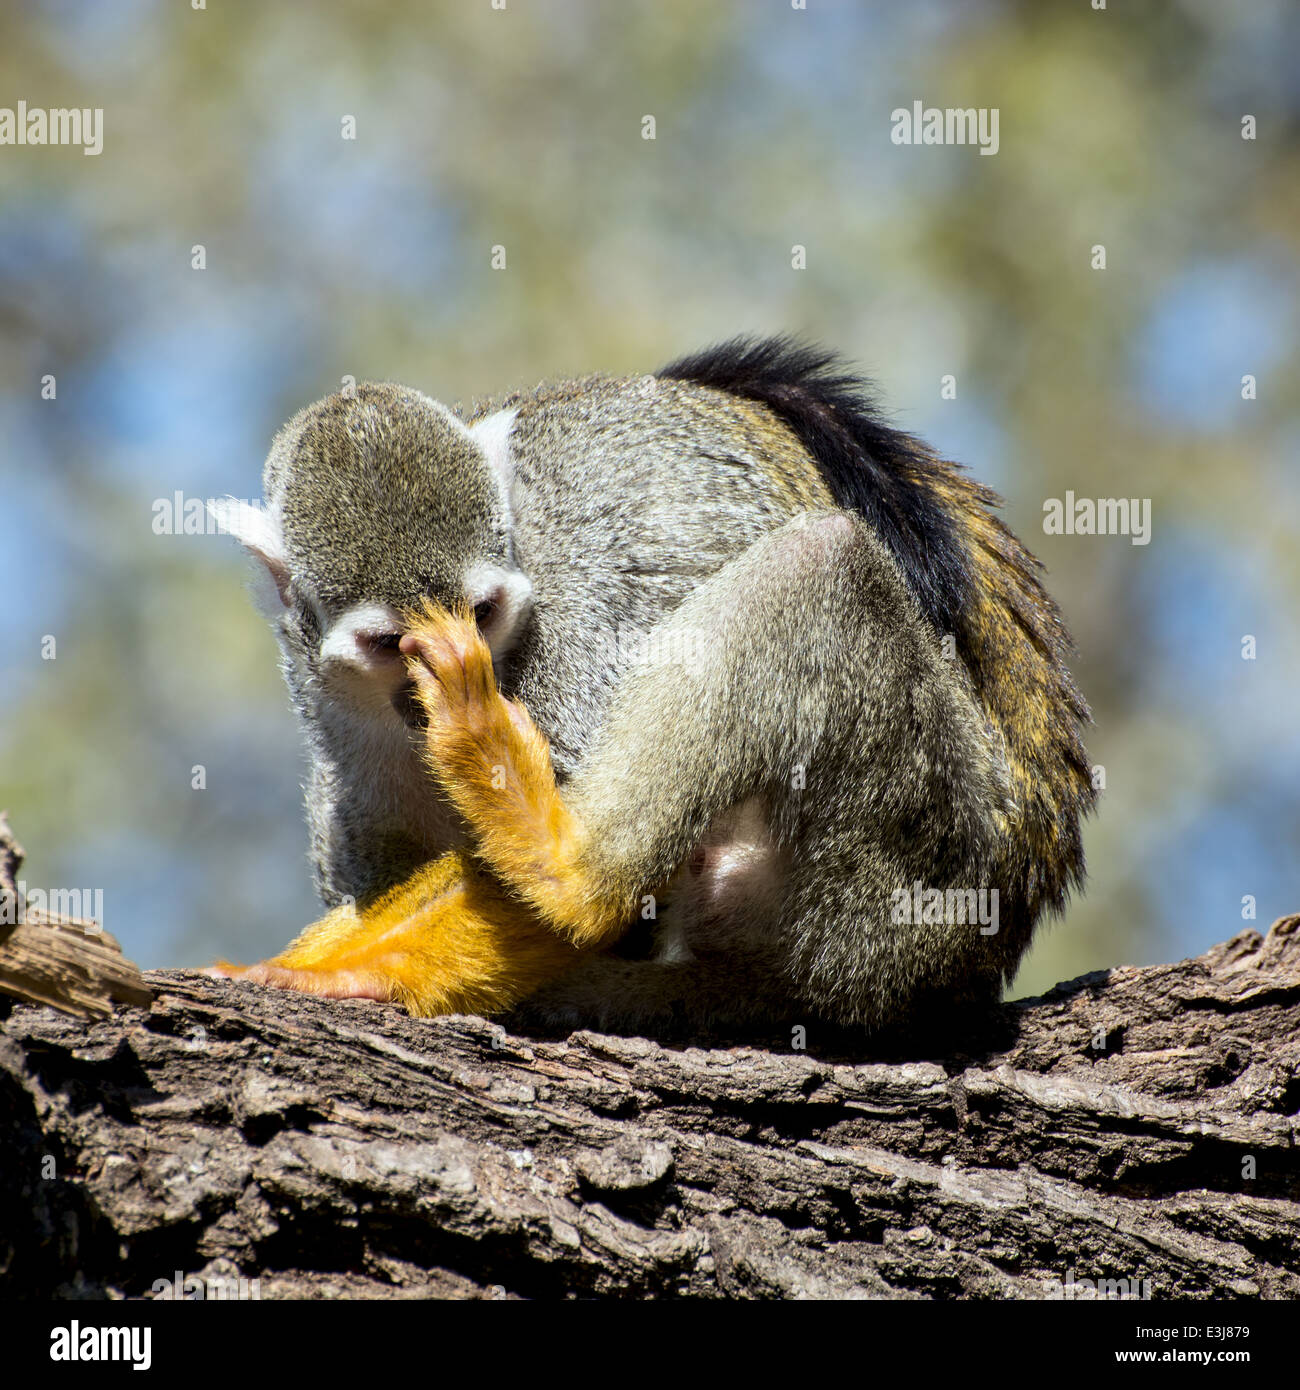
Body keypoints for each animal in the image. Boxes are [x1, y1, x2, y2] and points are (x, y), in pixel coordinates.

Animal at [209, 336, 1095, 1034]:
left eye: (480, 613)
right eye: (390, 643)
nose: (427, 696)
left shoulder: (566, 643)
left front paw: (364, 974)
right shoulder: (320, 691)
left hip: (903, 871)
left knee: (822, 566)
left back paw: (569, 871)